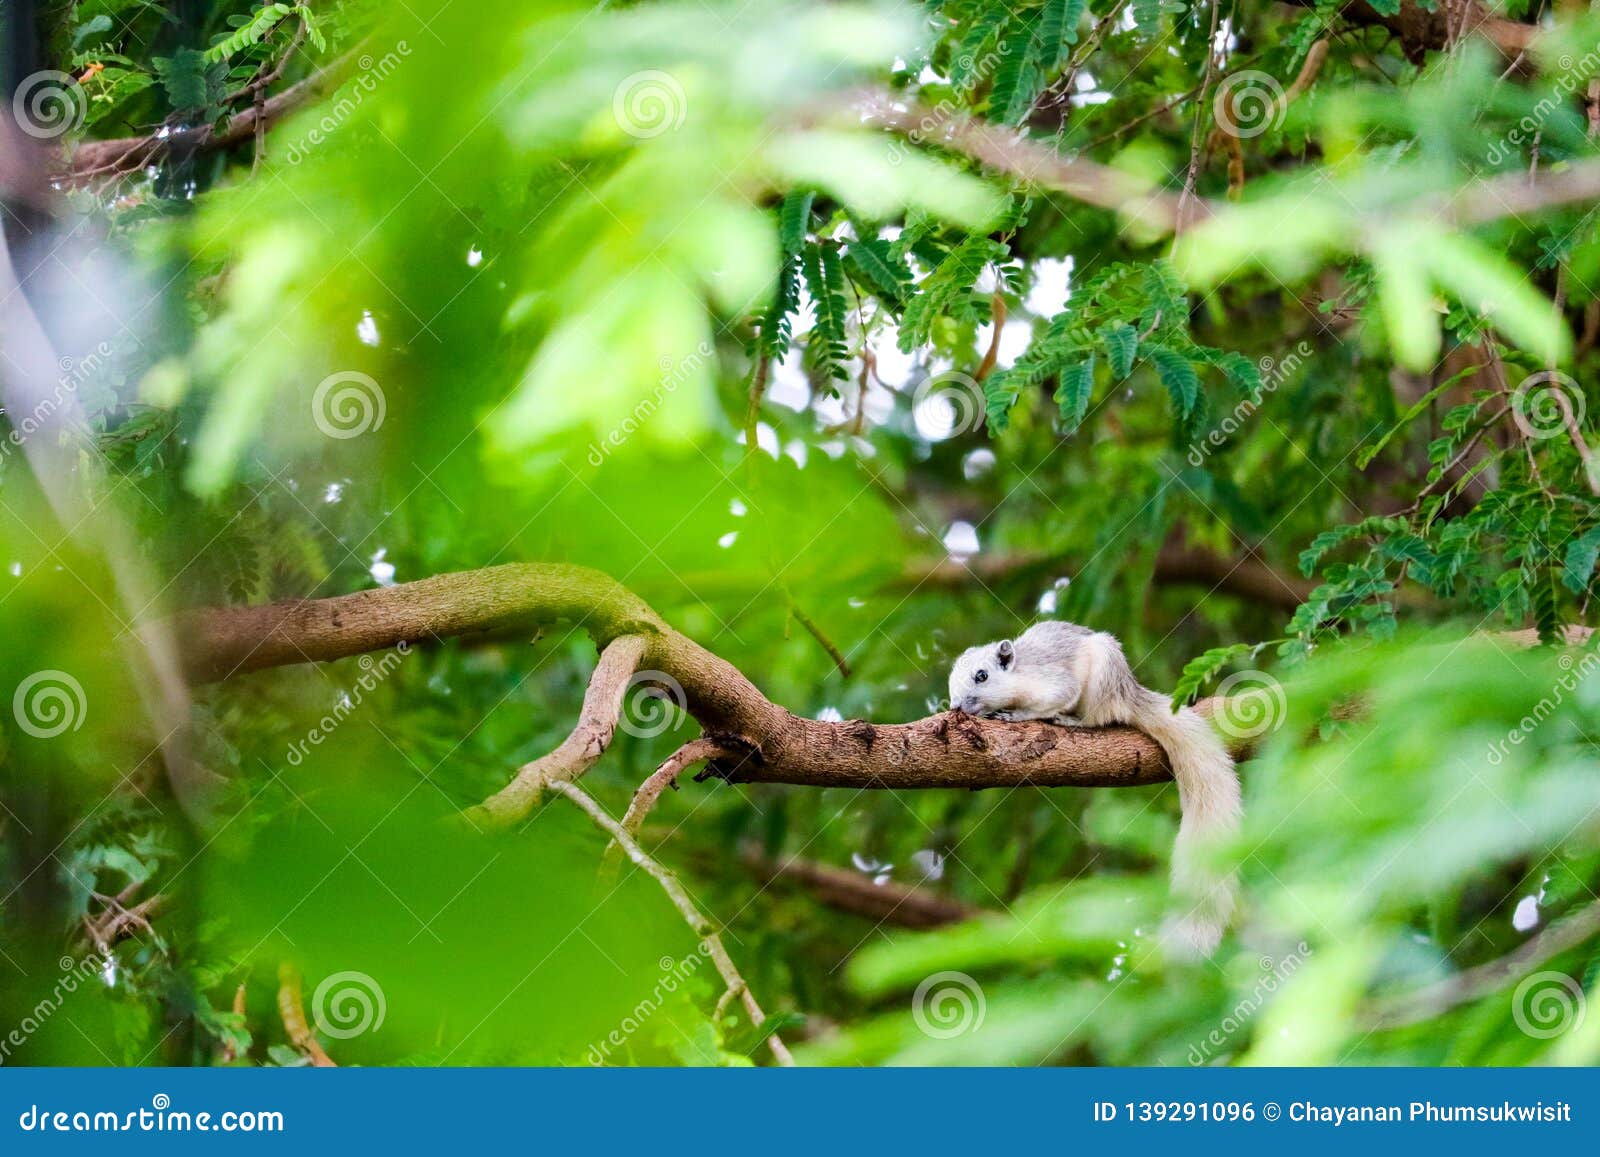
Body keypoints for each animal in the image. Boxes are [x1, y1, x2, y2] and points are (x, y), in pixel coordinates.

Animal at [947, 620, 1241, 957]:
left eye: (982, 675)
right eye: (952, 680)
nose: (955, 706)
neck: (1021, 675)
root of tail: (1128, 691)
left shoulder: (1054, 682)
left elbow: (1054, 698)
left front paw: (1017, 715)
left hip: (1101, 681)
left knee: (1098, 718)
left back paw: (1070, 720)